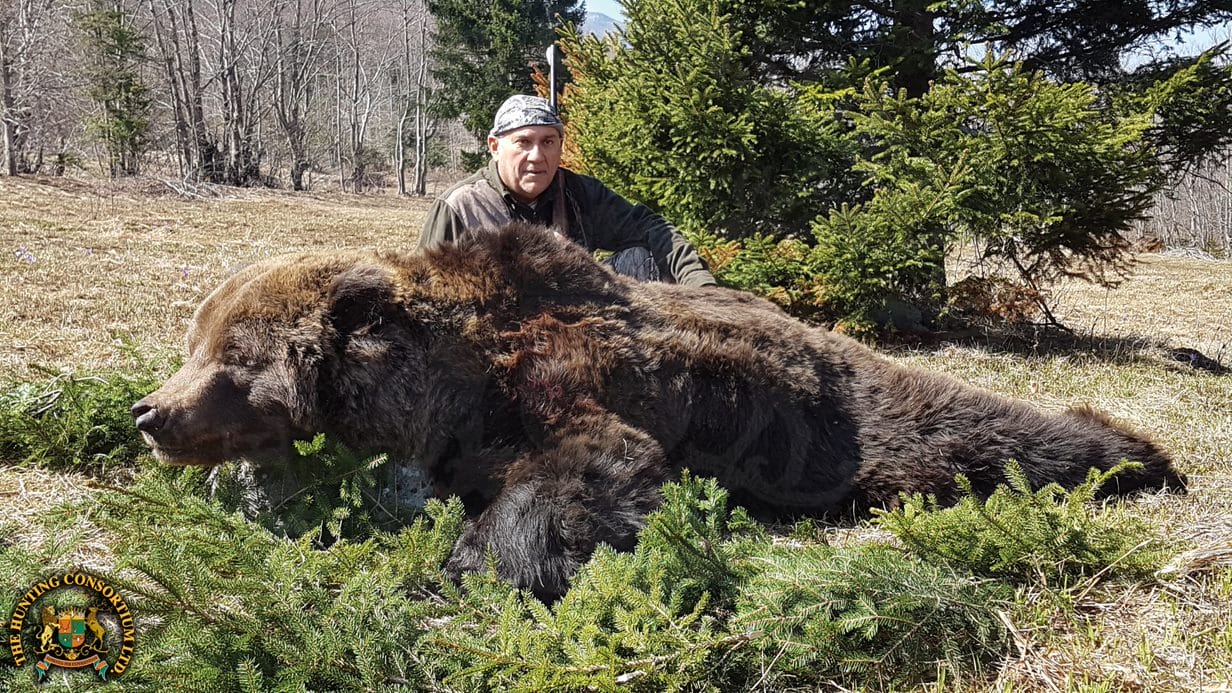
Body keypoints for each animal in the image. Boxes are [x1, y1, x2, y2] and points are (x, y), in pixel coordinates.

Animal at [132, 222, 1186, 600]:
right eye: (193, 343)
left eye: (233, 357)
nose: (149, 412)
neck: (449, 380)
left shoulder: (563, 380)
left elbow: (588, 471)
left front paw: (465, 565)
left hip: (847, 413)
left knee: (981, 429)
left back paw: (1141, 456)